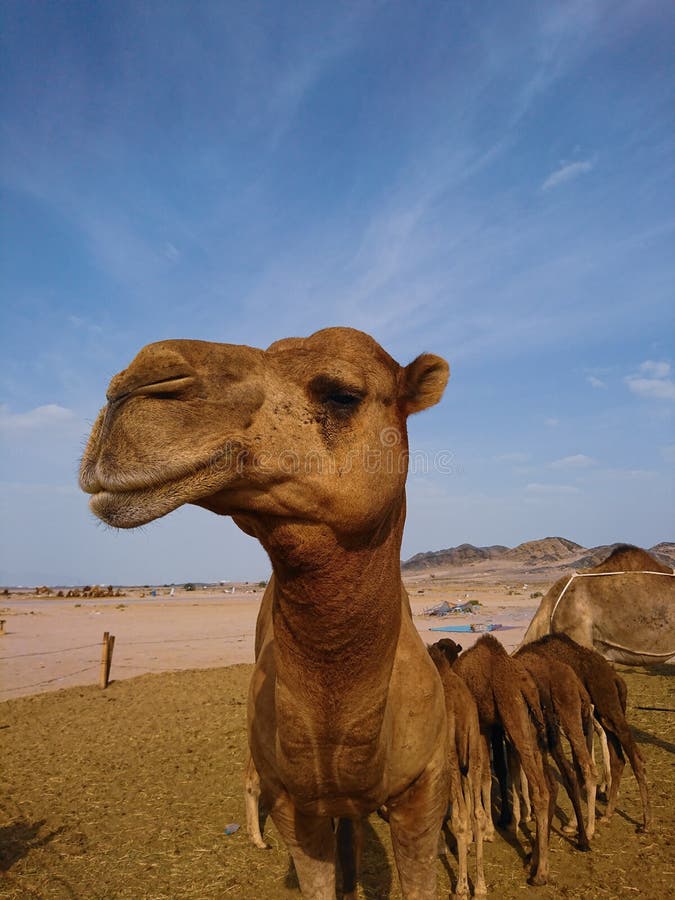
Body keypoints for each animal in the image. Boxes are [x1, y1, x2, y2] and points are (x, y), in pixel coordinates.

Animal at [434, 636, 552, 886]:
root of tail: (525, 686)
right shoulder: (487, 727)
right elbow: (487, 775)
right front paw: (487, 829)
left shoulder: (480, 726)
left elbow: (479, 778)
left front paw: (477, 833)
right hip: (529, 724)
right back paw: (535, 861)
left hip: (513, 715)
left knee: (540, 790)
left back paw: (540, 874)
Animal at [525, 634, 652, 833]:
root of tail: (616, 678)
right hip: (603, 714)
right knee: (618, 759)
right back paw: (607, 815)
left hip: (609, 709)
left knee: (635, 758)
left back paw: (646, 823)